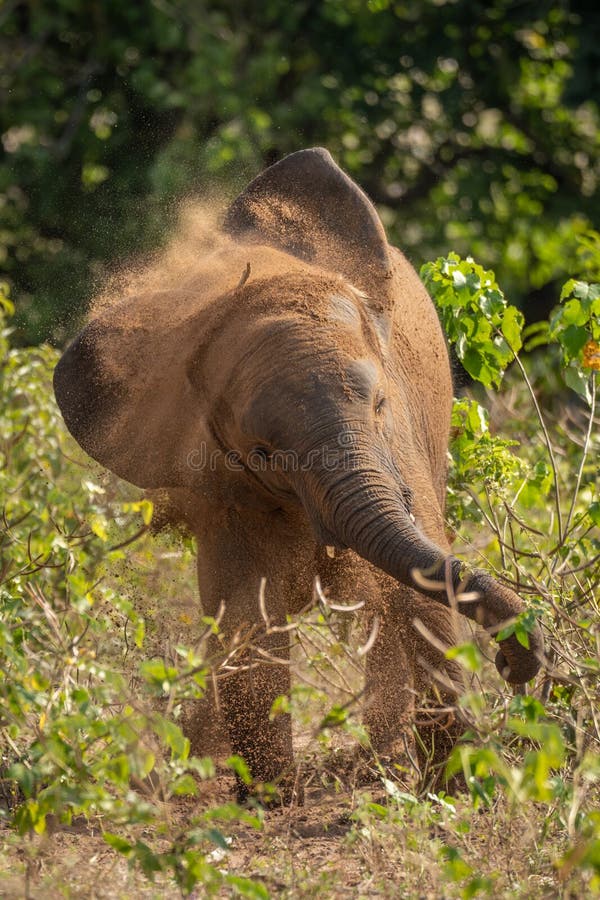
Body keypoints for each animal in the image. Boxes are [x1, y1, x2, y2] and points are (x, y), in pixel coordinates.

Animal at [53, 148, 543, 803]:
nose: (516, 664)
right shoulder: (222, 479)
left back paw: (378, 759)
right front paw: (269, 799)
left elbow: (419, 583)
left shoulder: (402, 443)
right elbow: (247, 615)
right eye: (263, 453)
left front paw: (452, 788)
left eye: (379, 404)